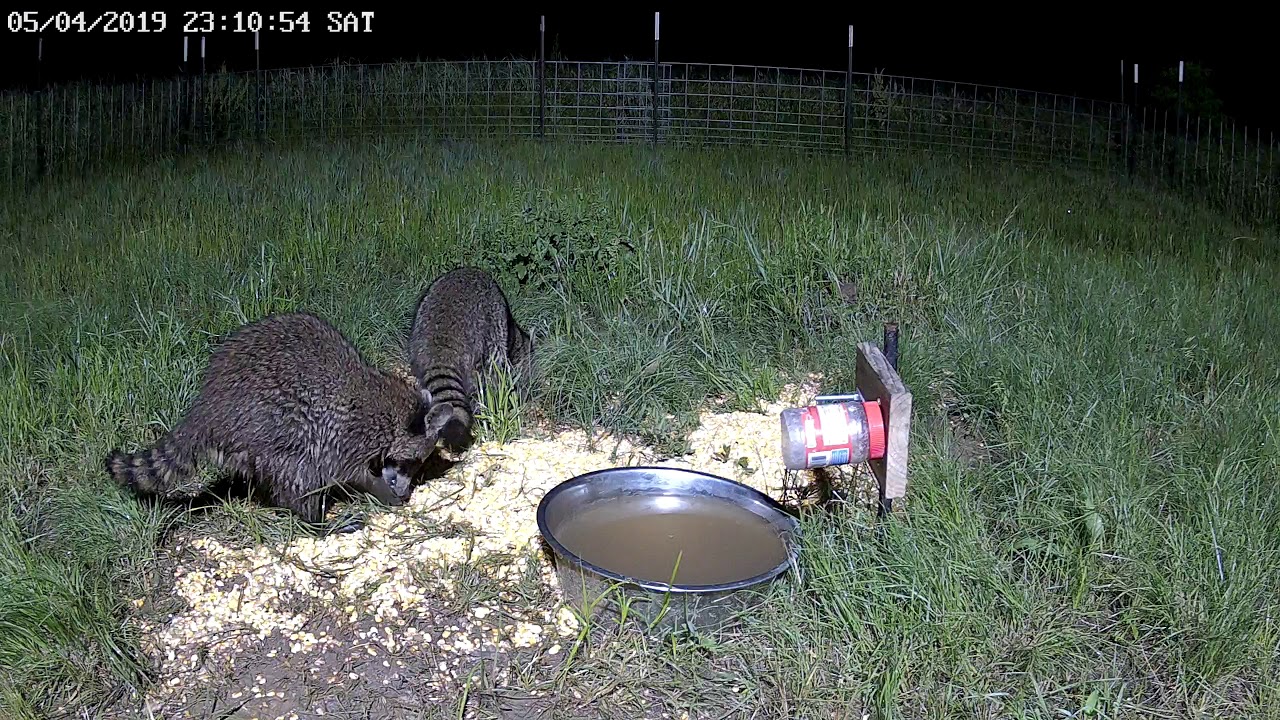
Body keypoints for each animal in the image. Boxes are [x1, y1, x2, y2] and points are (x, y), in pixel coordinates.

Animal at [106, 311, 455, 533]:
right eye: (413, 461)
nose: (405, 490)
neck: (395, 408)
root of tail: (207, 408)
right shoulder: (349, 433)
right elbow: (345, 471)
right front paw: (380, 490)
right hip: (274, 430)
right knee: (300, 474)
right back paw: (318, 524)